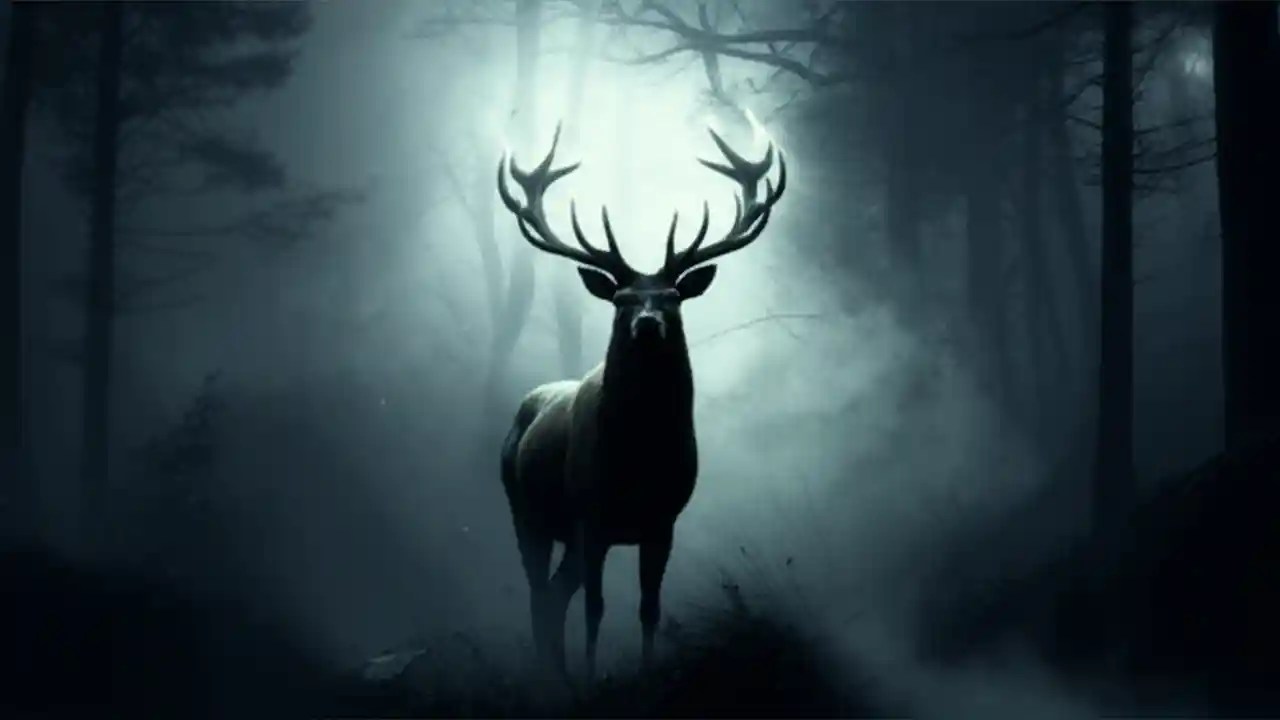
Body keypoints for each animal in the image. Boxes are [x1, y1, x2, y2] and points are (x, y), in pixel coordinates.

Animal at [496, 123, 786, 680]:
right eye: (622, 300)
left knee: (555, 596)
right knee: (540, 596)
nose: (648, 324)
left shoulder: (663, 519)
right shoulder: (591, 515)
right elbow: (596, 608)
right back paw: (553, 678)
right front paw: (592, 679)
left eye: (673, 298)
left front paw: (648, 672)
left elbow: (648, 608)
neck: (638, 456)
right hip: (525, 510)